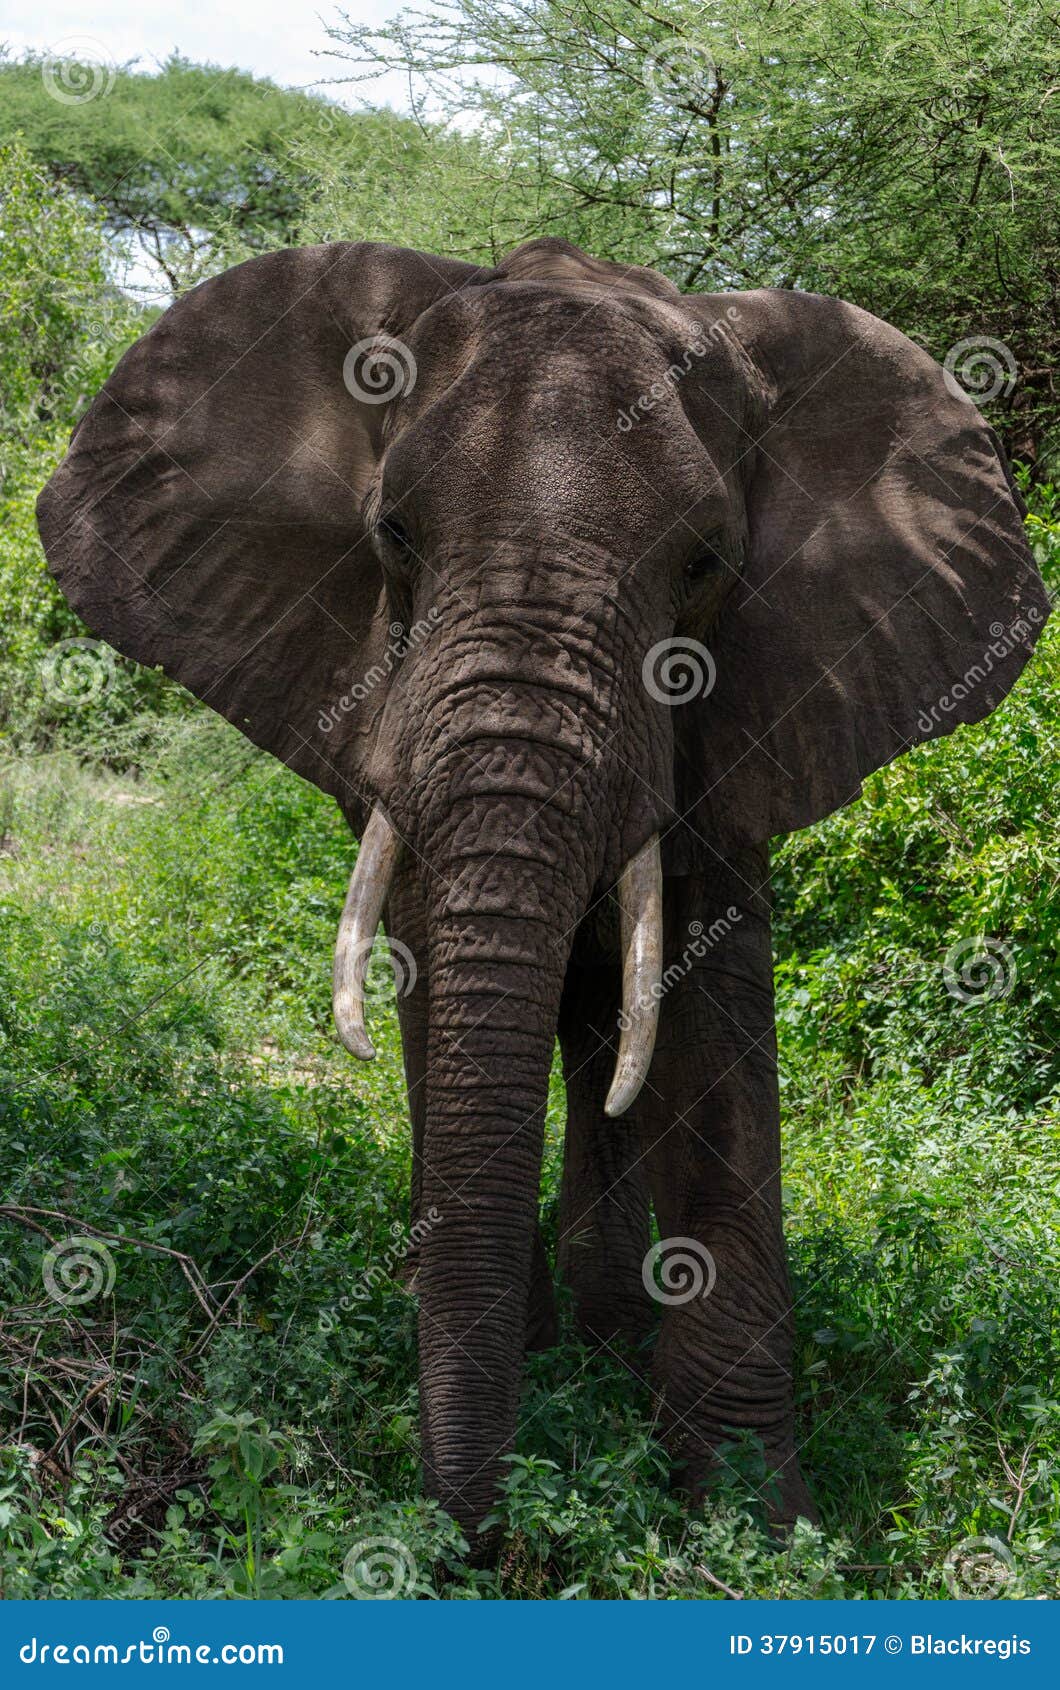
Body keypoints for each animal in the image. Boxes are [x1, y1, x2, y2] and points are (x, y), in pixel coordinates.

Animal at [37, 235, 1049, 1540]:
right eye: (394, 535)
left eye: (704, 563)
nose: (477, 1539)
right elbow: (430, 970)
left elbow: (709, 1018)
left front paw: (752, 1522)